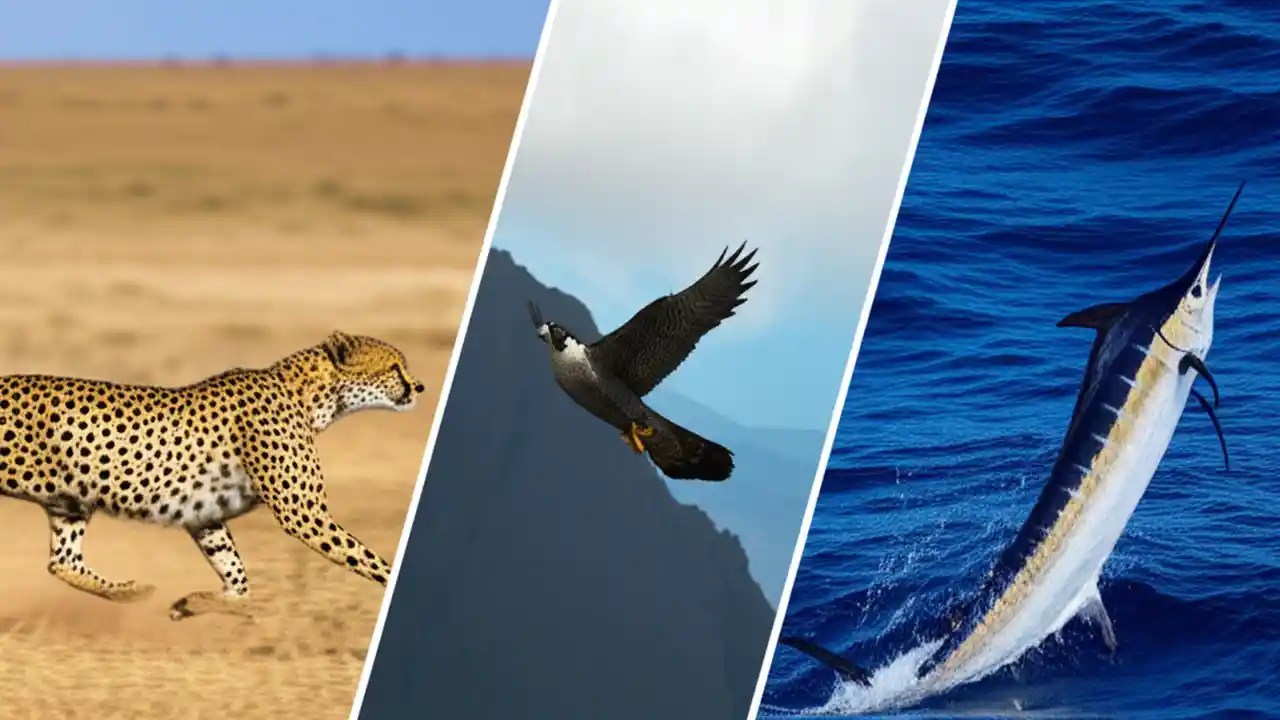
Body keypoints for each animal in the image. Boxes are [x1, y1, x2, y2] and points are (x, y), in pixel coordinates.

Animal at [0, 330, 425, 620]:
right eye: (393, 367)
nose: (419, 386)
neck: (309, 397)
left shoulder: (205, 514)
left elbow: (237, 578)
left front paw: (190, 604)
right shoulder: (303, 514)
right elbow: (366, 559)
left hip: (69, 502)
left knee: (62, 561)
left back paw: (131, 591)